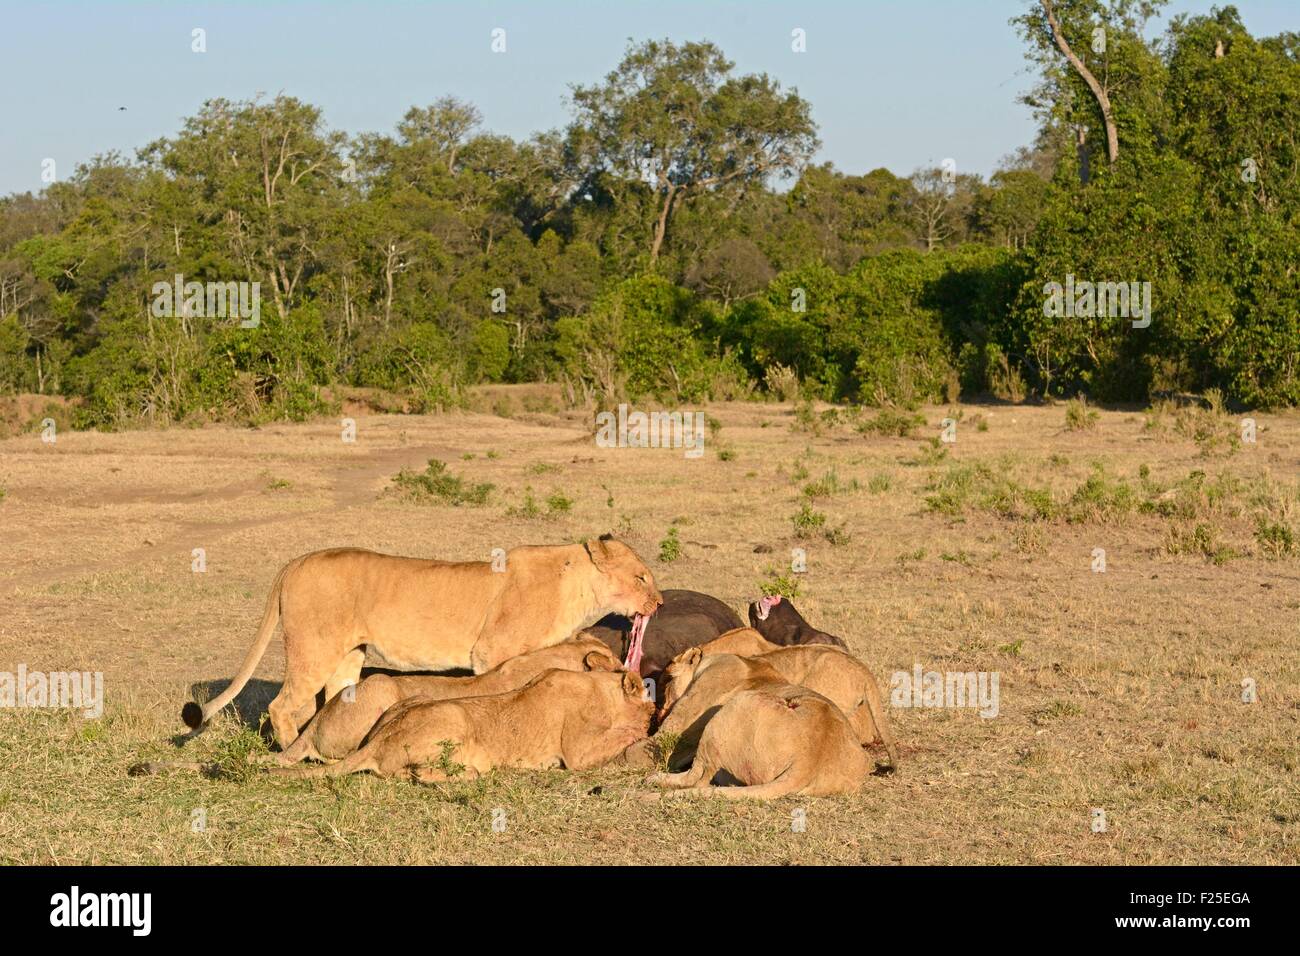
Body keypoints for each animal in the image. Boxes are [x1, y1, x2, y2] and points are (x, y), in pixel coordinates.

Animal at [181, 536, 661, 747]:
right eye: (641, 577)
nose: (657, 602)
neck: (578, 588)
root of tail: (296, 561)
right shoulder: (492, 651)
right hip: (313, 651)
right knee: (281, 706)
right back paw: (290, 746)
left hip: (348, 657)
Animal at [275, 668, 654, 782]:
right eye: (652, 709)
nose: (654, 723)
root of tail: (377, 740)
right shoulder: (577, 754)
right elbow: (610, 741)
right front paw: (638, 730)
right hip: (455, 718)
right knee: (420, 774)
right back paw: (469, 774)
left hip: (408, 702)